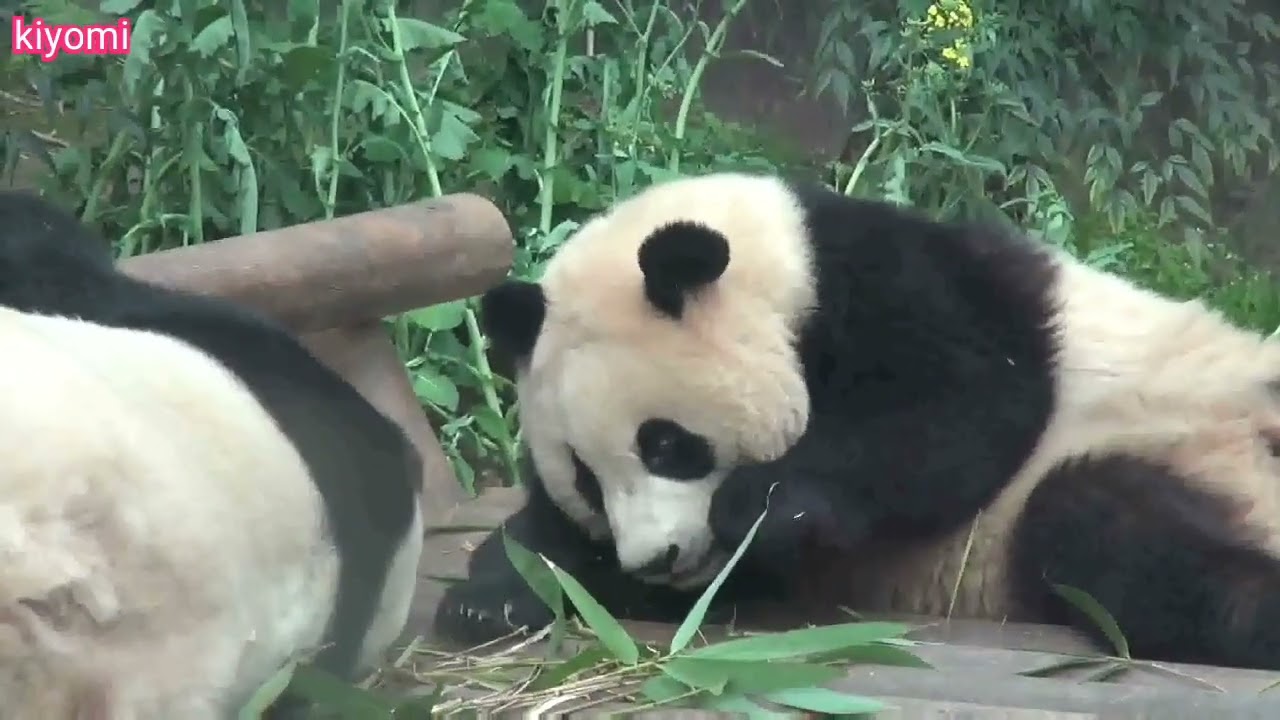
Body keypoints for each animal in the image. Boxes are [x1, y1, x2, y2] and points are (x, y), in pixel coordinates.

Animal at [435, 170, 1280, 672]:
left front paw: (767, 506)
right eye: (585, 475)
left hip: (1183, 438)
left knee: (1100, 525)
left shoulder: (906, 287)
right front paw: (493, 592)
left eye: (668, 445)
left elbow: (966, 412)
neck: (780, 261)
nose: (658, 558)